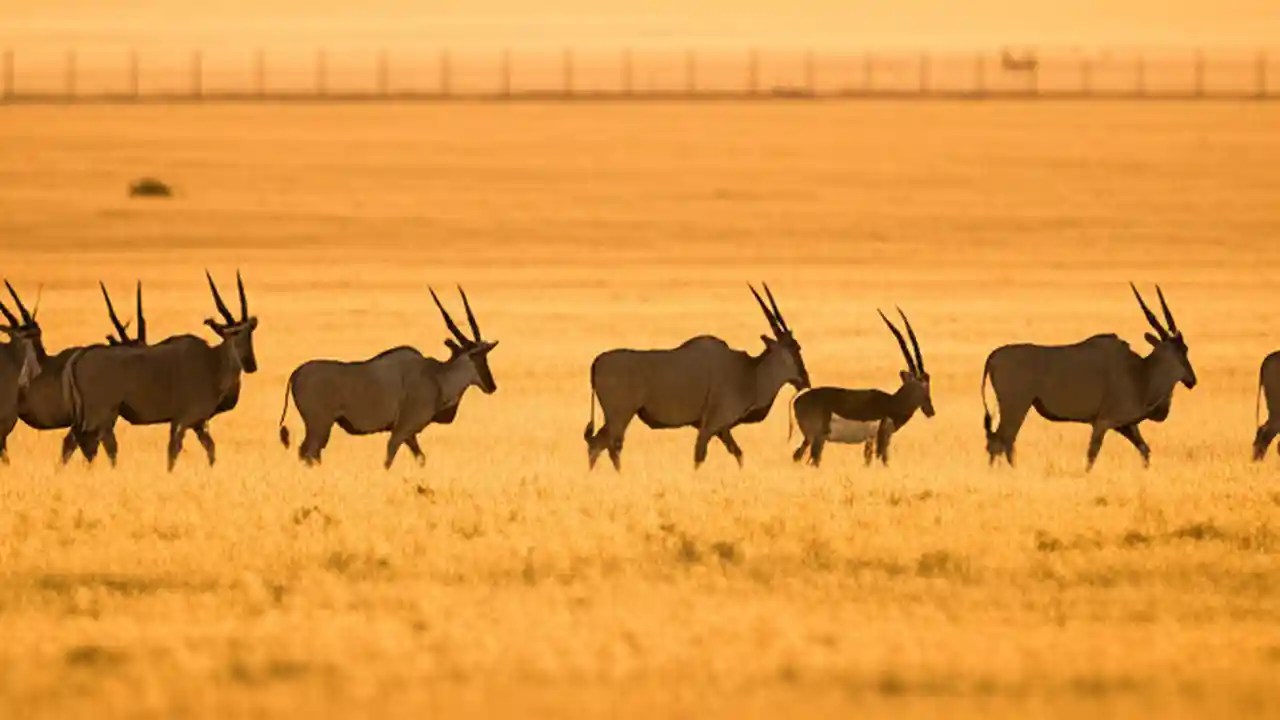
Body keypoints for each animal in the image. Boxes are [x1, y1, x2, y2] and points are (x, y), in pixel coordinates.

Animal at [65, 271, 259, 471]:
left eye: (250, 331)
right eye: (233, 333)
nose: (250, 365)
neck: (212, 362)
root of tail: (81, 356)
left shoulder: (198, 424)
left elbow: (210, 449)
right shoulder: (182, 420)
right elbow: (173, 451)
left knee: (74, 441)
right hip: (102, 415)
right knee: (102, 444)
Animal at [277, 287, 498, 469]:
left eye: (485, 356)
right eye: (475, 355)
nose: (492, 386)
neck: (436, 376)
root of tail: (296, 373)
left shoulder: (410, 435)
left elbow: (421, 458)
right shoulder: (401, 430)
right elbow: (389, 459)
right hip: (319, 425)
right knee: (308, 452)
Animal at [584, 284, 809, 471]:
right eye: (795, 348)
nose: (805, 380)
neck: (749, 372)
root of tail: (597, 362)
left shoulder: (723, 430)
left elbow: (738, 454)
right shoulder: (710, 427)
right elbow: (699, 456)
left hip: (616, 418)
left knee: (596, 444)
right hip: (621, 416)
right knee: (612, 447)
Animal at [791, 309, 934, 467]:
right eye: (922, 384)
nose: (930, 411)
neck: (893, 402)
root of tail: (797, 401)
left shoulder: (871, 440)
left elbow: (868, 461)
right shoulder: (881, 437)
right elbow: (882, 460)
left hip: (811, 438)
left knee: (798, 455)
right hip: (817, 438)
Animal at [981, 284, 1195, 470]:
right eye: (1183, 350)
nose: (1192, 381)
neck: (1142, 373)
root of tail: (993, 357)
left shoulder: (1126, 426)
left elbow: (1145, 450)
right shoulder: (1102, 423)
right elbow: (1092, 454)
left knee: (997, 441)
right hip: (1016, 407)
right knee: (1003, 440)